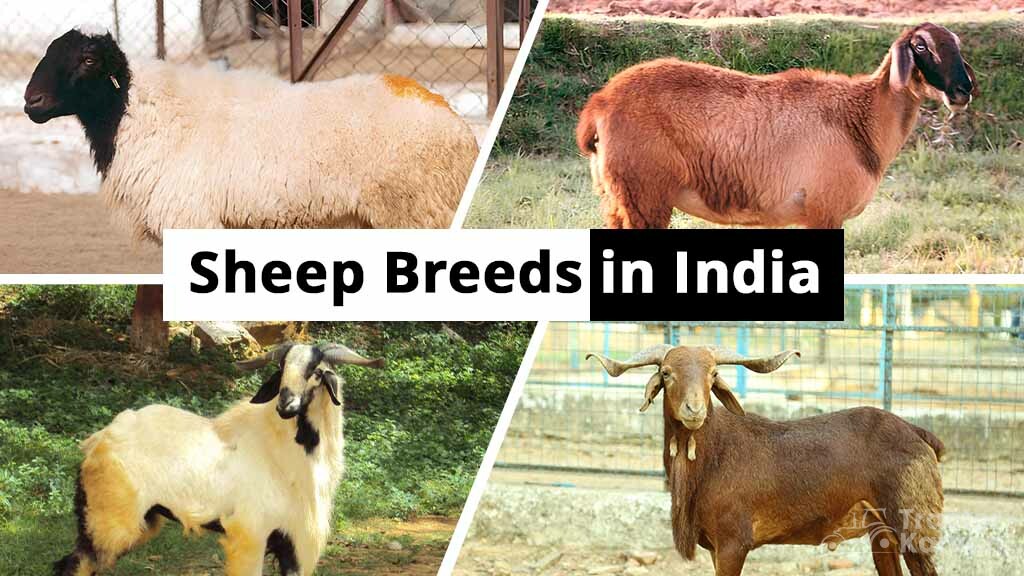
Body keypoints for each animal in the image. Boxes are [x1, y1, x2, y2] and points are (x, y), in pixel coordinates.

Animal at [23, 28, 479, 241]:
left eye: (88, 60)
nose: (31, 101)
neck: (133, 111)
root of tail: (456, 122)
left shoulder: (190, 218)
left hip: (417, 215)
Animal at [53, 342, 384, 576]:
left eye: (316, 371)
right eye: (282, 367)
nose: (285, 404)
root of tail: (99, 439)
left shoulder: (292, 543)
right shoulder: (250, 533)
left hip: (136, 521)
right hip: (107, 521)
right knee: (72, 565)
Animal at [576, 23, 978, 229]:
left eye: (956, 45)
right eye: (921, 47)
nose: (963, 90)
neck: (862, 117)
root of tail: (601, 103)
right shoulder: (824, 211)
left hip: (617, 197)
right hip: (645, 195)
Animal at [587, 345, 945, 576]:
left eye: (713, 373)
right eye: (666, 372)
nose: (694, 410)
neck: (714, 456)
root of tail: (918, 433)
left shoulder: (734, 543)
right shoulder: (715, 547)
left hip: (915, 528)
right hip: (881, 532)